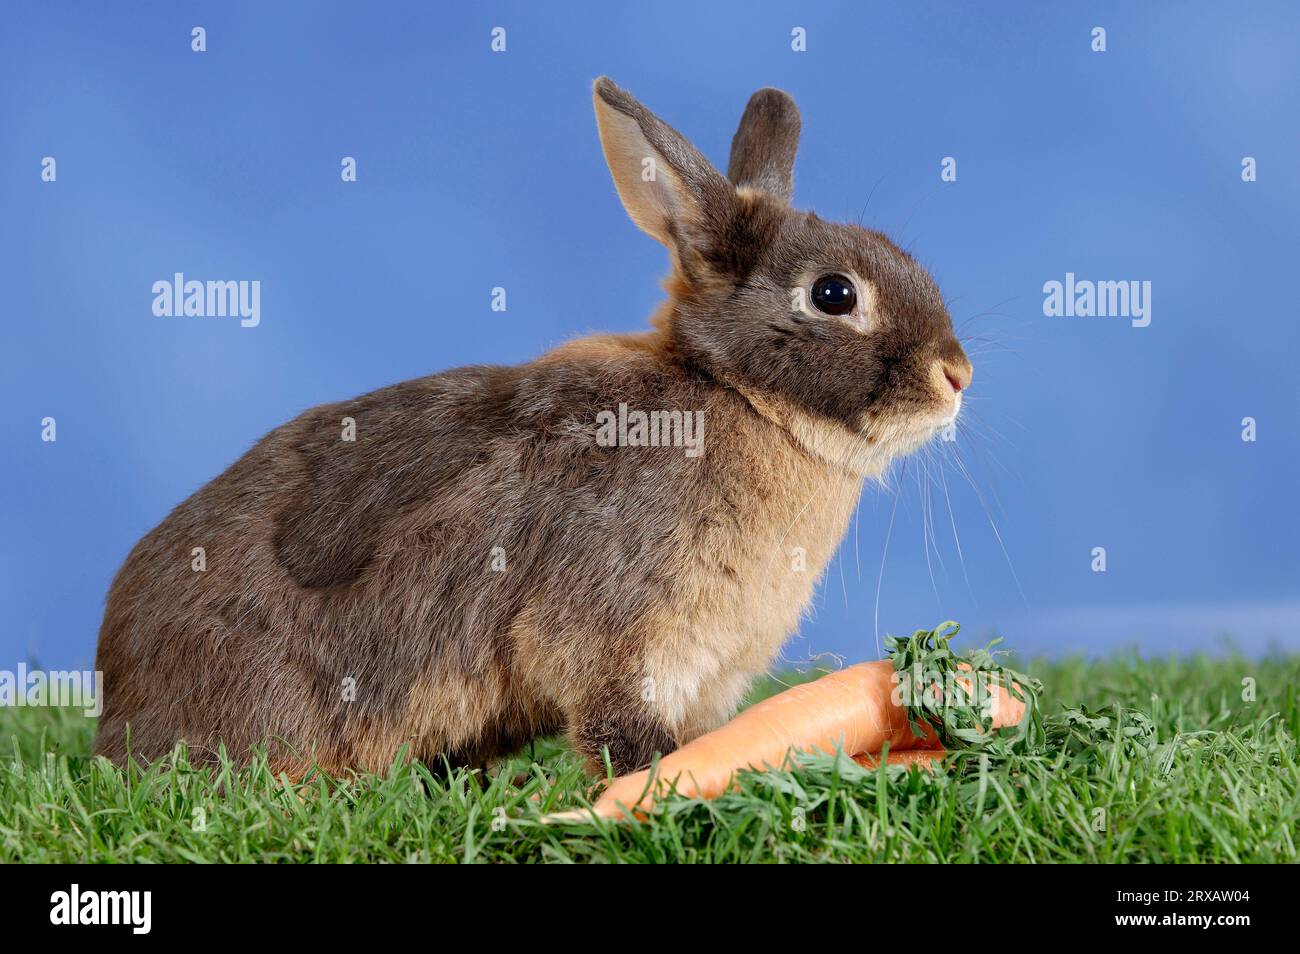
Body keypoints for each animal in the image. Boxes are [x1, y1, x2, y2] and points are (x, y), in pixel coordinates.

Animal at [93, 77, 973, 777]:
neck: (735, 395)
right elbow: (619, 726)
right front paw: (654, 783)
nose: (957, 376)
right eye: (834, 294)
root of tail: (116, 693)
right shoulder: (613, 632)